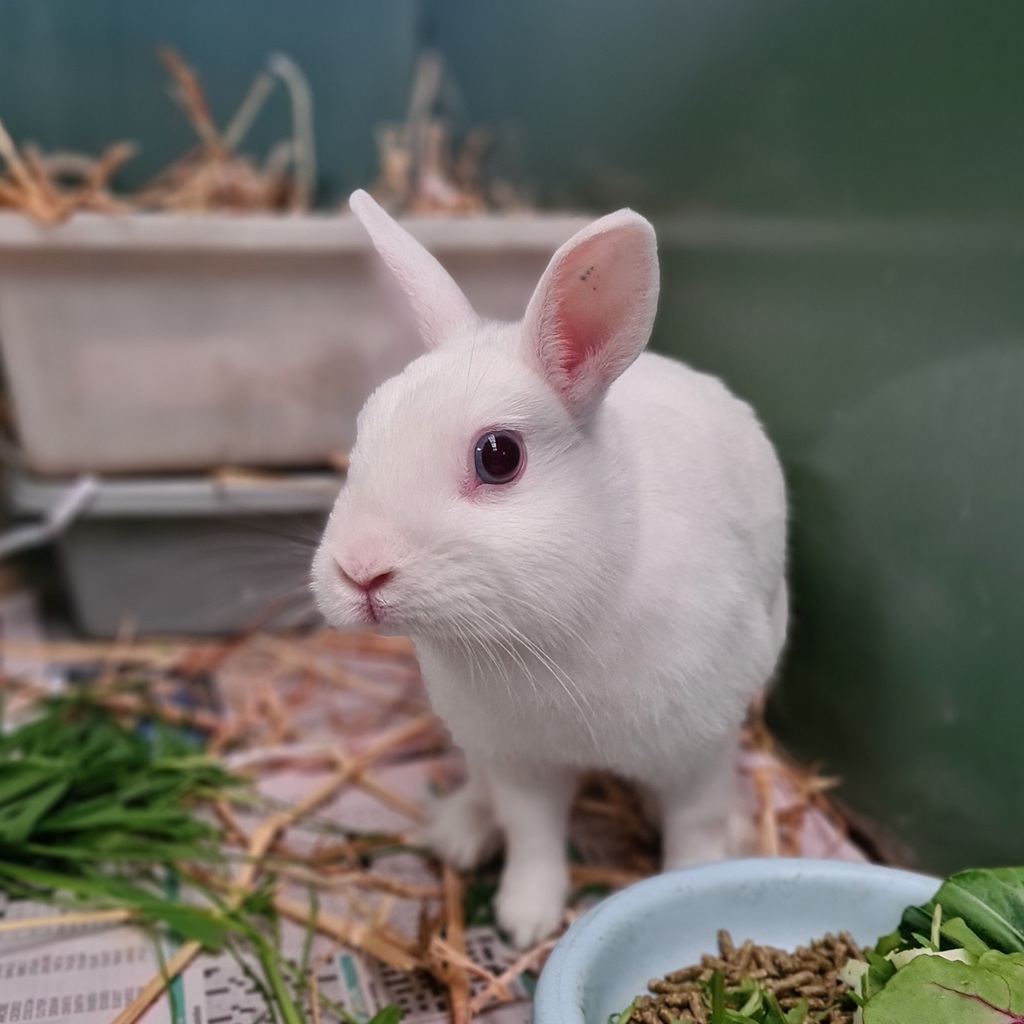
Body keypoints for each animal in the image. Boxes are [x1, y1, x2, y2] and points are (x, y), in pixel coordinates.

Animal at [312, 190, 788, 949]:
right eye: (362, 429)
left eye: (499, 456)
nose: (360, 572)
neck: (550, 633)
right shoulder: (521, 765)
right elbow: (533, 839)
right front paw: (525, 921)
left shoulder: (697, 752)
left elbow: (694, 833)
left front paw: (686, 889)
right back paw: (460, 832)